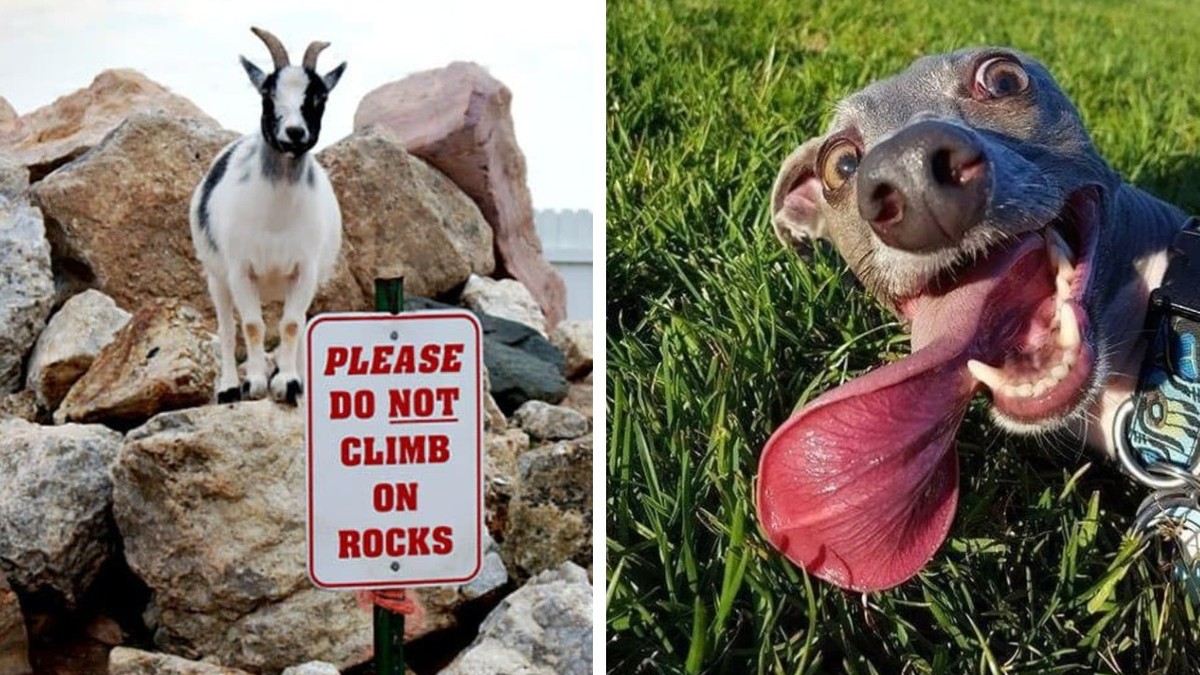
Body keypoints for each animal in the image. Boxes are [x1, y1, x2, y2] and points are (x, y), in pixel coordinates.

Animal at [189, 26, 346, 405]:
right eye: (267, 92)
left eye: (320, 96)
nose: (294, 133)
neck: (276, 217)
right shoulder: (240, 269)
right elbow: (251, 326)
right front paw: (256, 383)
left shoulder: (304, 270)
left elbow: (291, 325)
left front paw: (287, 382)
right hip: (216, 277)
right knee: (227, 329)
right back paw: (229, 387)